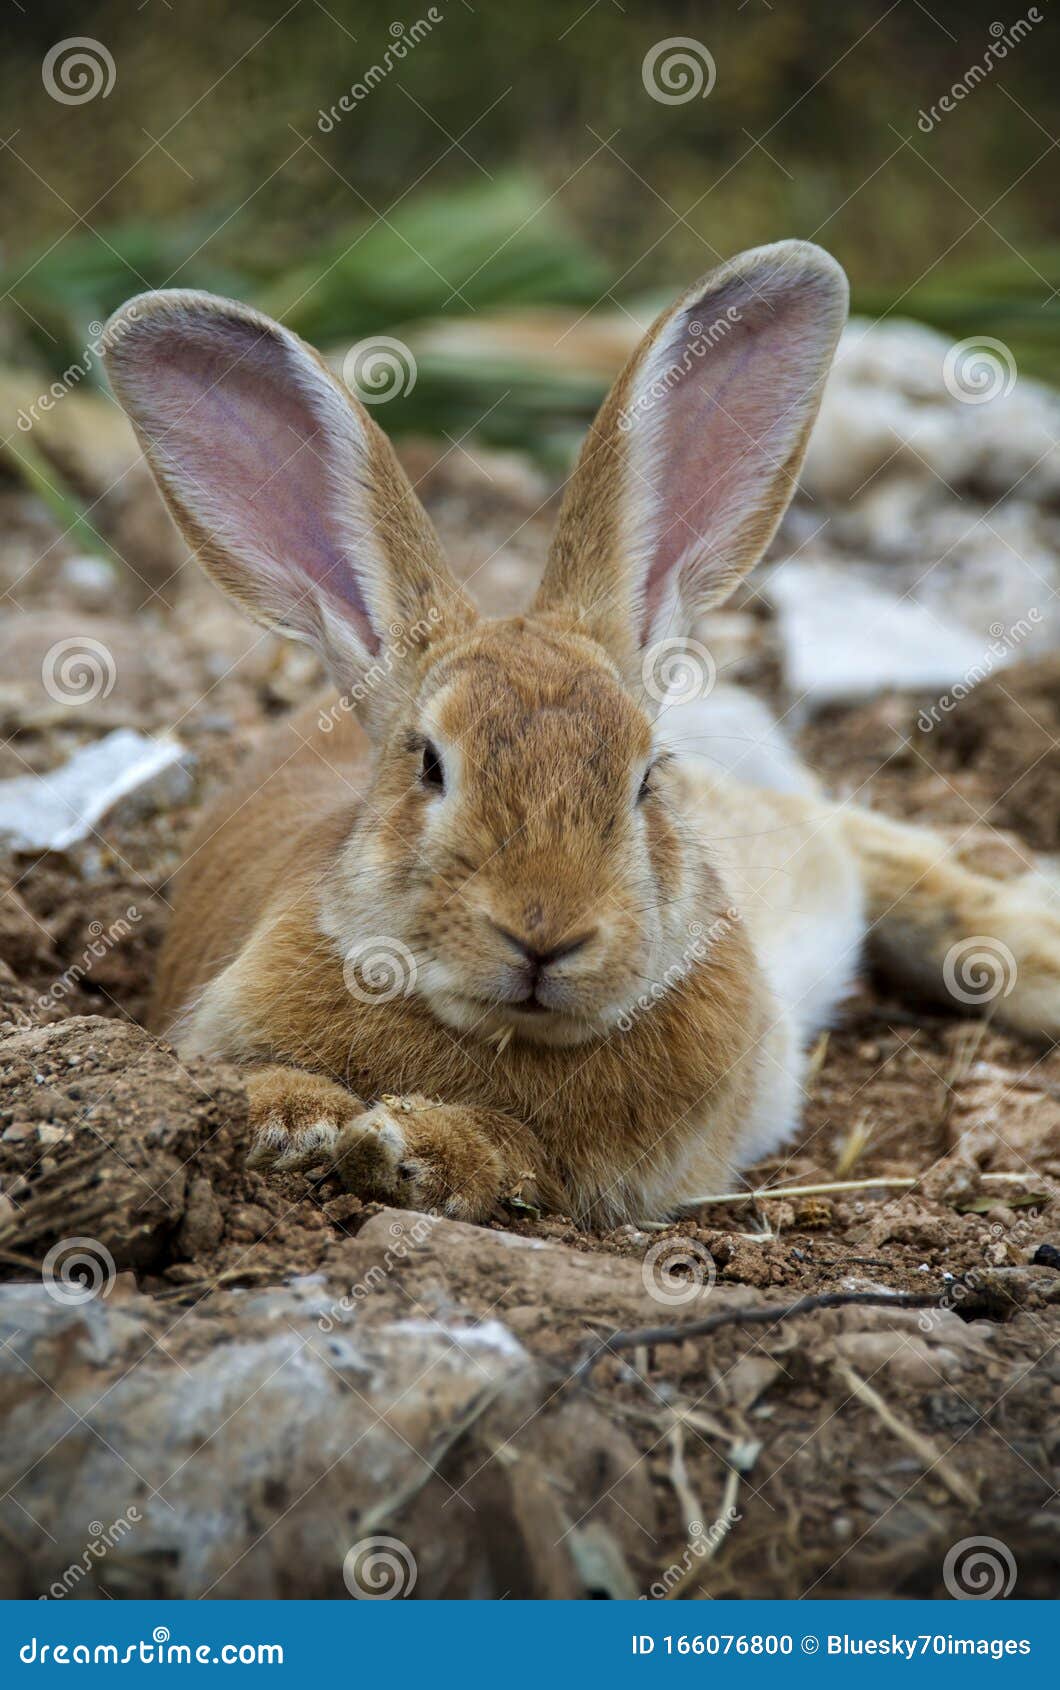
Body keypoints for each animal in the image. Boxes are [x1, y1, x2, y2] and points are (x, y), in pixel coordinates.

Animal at [103, 241, 1060, 1227]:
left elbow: (526, 1158)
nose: (544, 933)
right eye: (430, 764)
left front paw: (411, 1146)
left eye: (646, 779)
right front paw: (293, 1118)